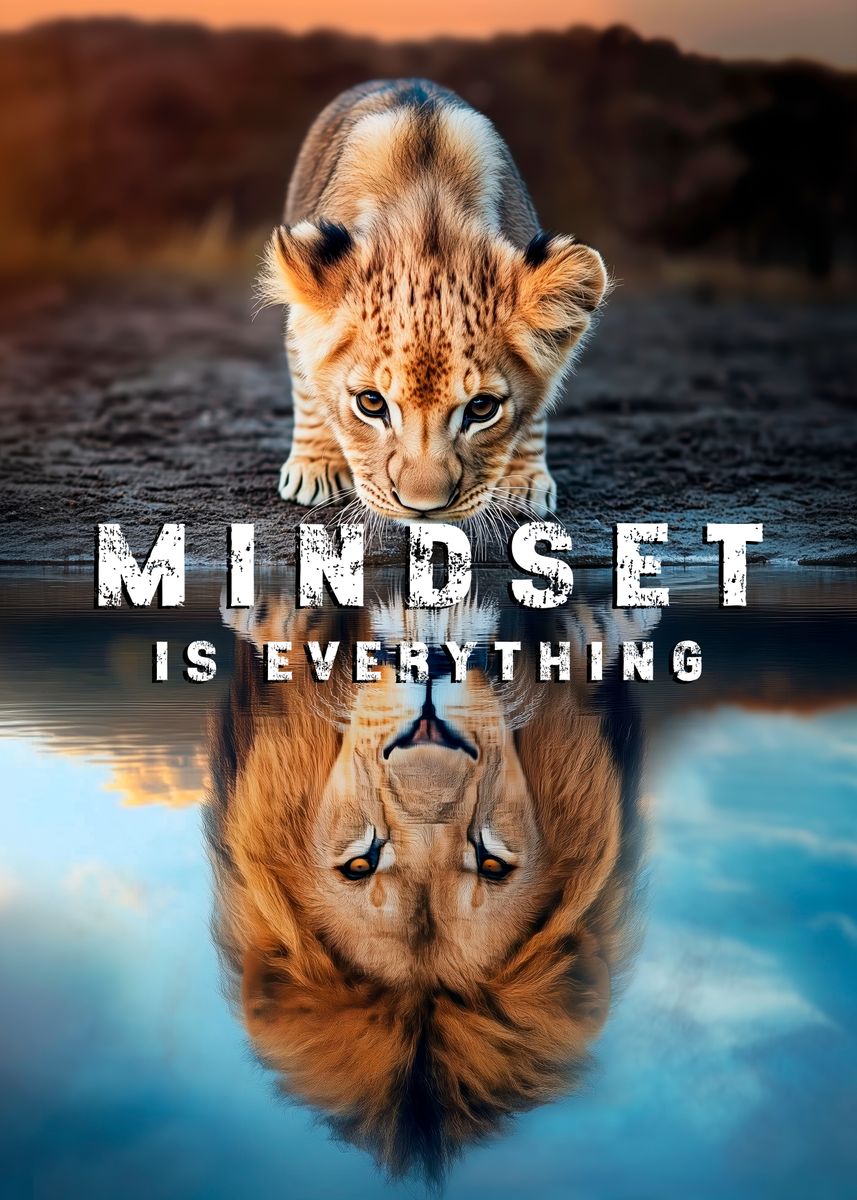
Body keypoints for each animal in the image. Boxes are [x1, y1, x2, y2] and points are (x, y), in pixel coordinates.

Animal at [259, 79, 608, 521]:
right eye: (371, 403)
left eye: (482, 408)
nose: (422, 507)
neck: (430, 212)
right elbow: (308, 388)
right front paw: (316, 465)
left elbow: (537, 411)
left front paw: (524, 480)